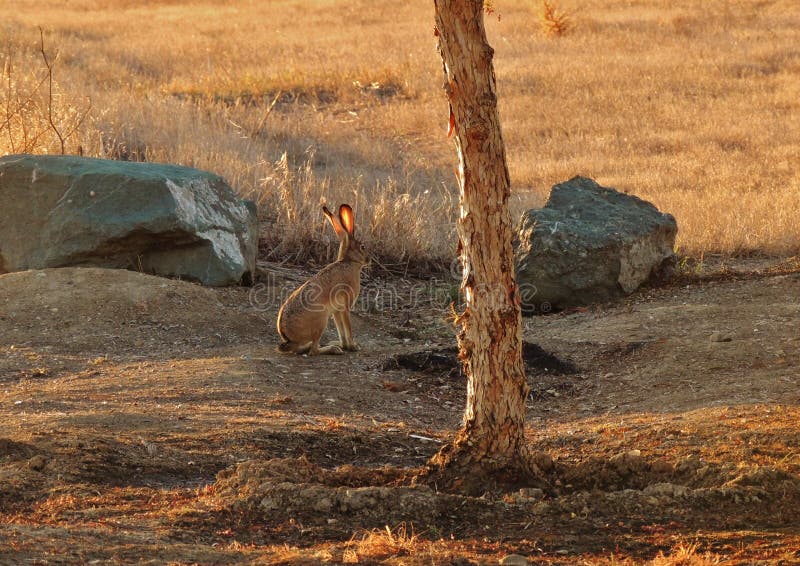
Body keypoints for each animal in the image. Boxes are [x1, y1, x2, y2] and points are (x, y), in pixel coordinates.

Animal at [276, 204, 368, 355]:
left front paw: (345, 345)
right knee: (313, 351)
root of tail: (288, 337)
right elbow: (348, 328)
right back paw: (333, 349)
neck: (349, 262)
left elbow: (341, 330)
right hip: (321, 321)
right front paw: (353, 346)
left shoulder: (337, 311)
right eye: (363, 247)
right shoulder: (345, 307)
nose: (369, 260)